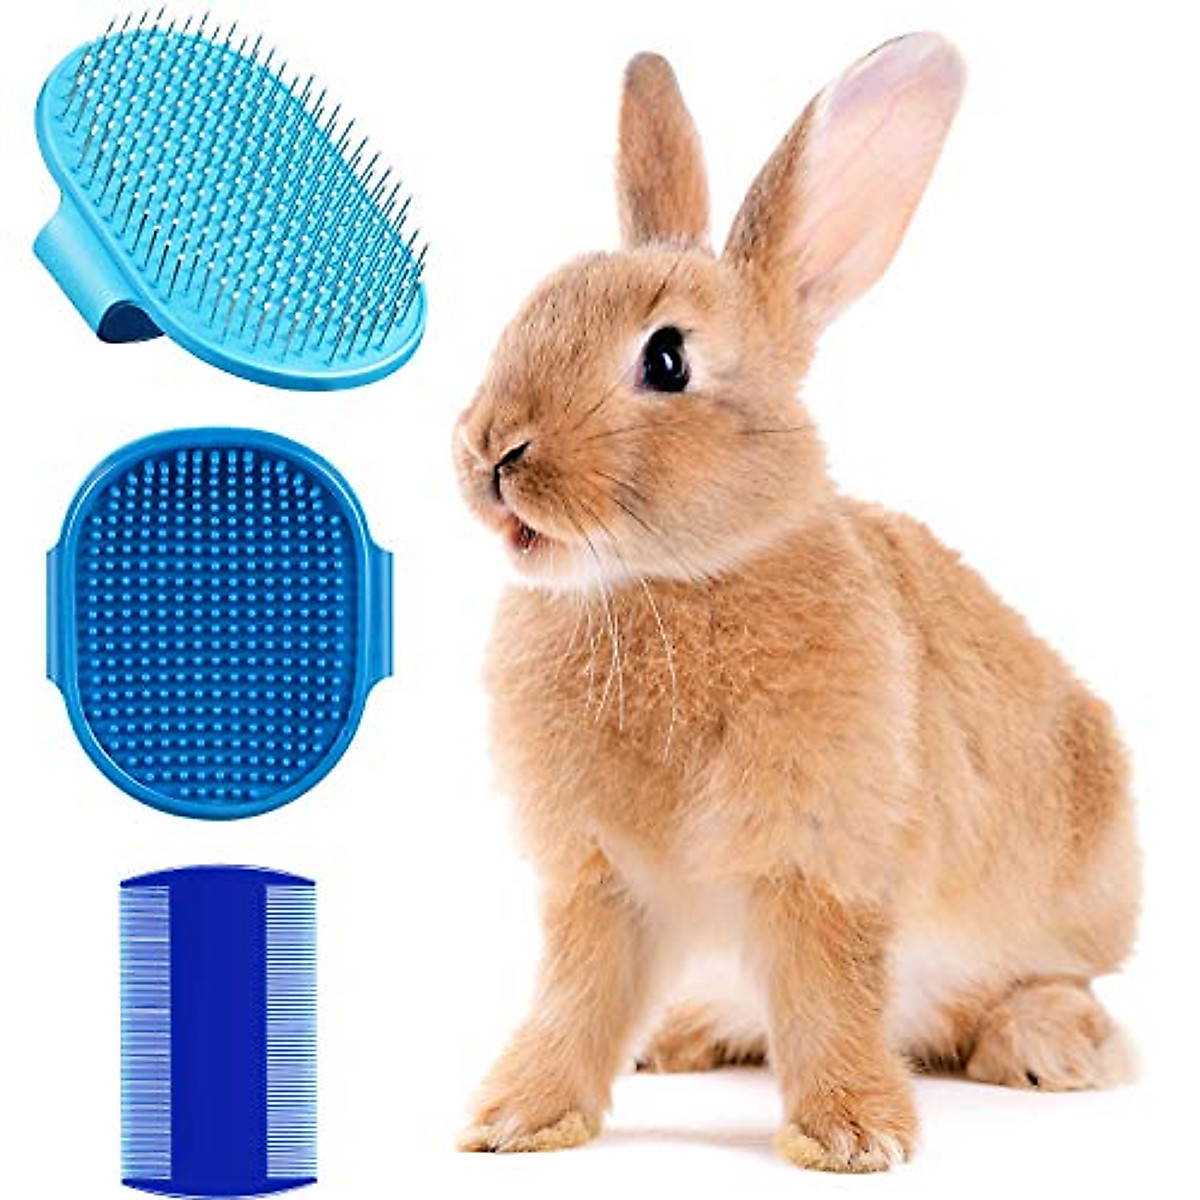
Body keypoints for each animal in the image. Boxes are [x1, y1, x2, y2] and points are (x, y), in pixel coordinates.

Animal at [452, 32, 1140, 1173]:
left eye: (668, 359)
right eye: (534, 307)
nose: (492, 452)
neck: (670, 581)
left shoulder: (821, 862)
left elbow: (828, 995)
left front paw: (853, 1137)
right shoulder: (600, 884)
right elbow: (576, 1000)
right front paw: (516, 1121)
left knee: (1051, 980)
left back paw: (1052, 1048)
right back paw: (683, 1038)